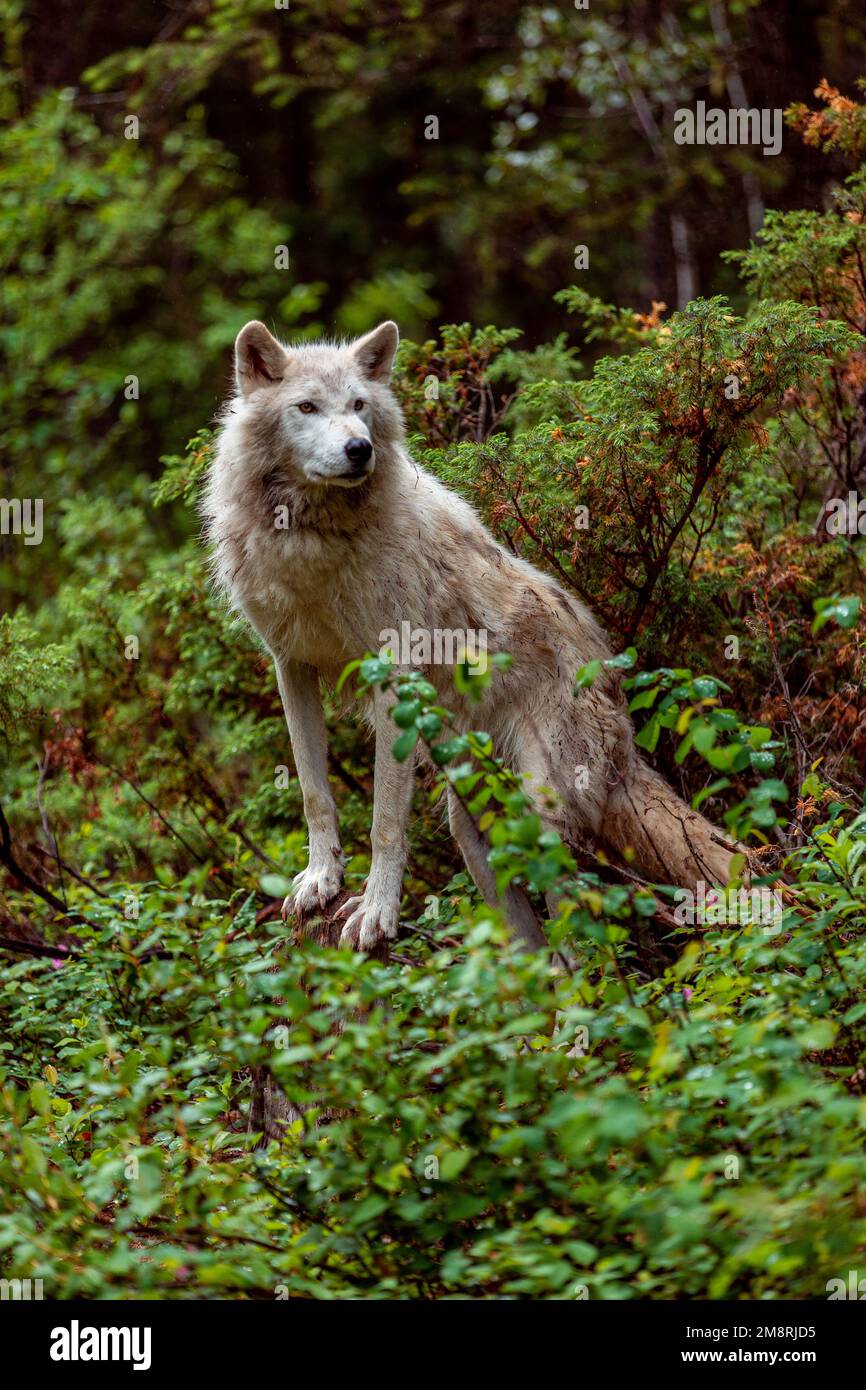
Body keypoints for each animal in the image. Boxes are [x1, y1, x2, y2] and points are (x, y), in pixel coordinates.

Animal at [201, 319, 737, 951]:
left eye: (359, 406)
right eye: (306, 407)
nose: (360, 449)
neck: (310, 536)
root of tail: (626, 732)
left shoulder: (395, 678)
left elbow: (385, 822)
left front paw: (375, 913)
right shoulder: (291, 666)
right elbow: (314, 793)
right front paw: (320, 881)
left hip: (540, 816)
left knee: (582, 937)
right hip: (474, 827)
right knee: (541, 952)